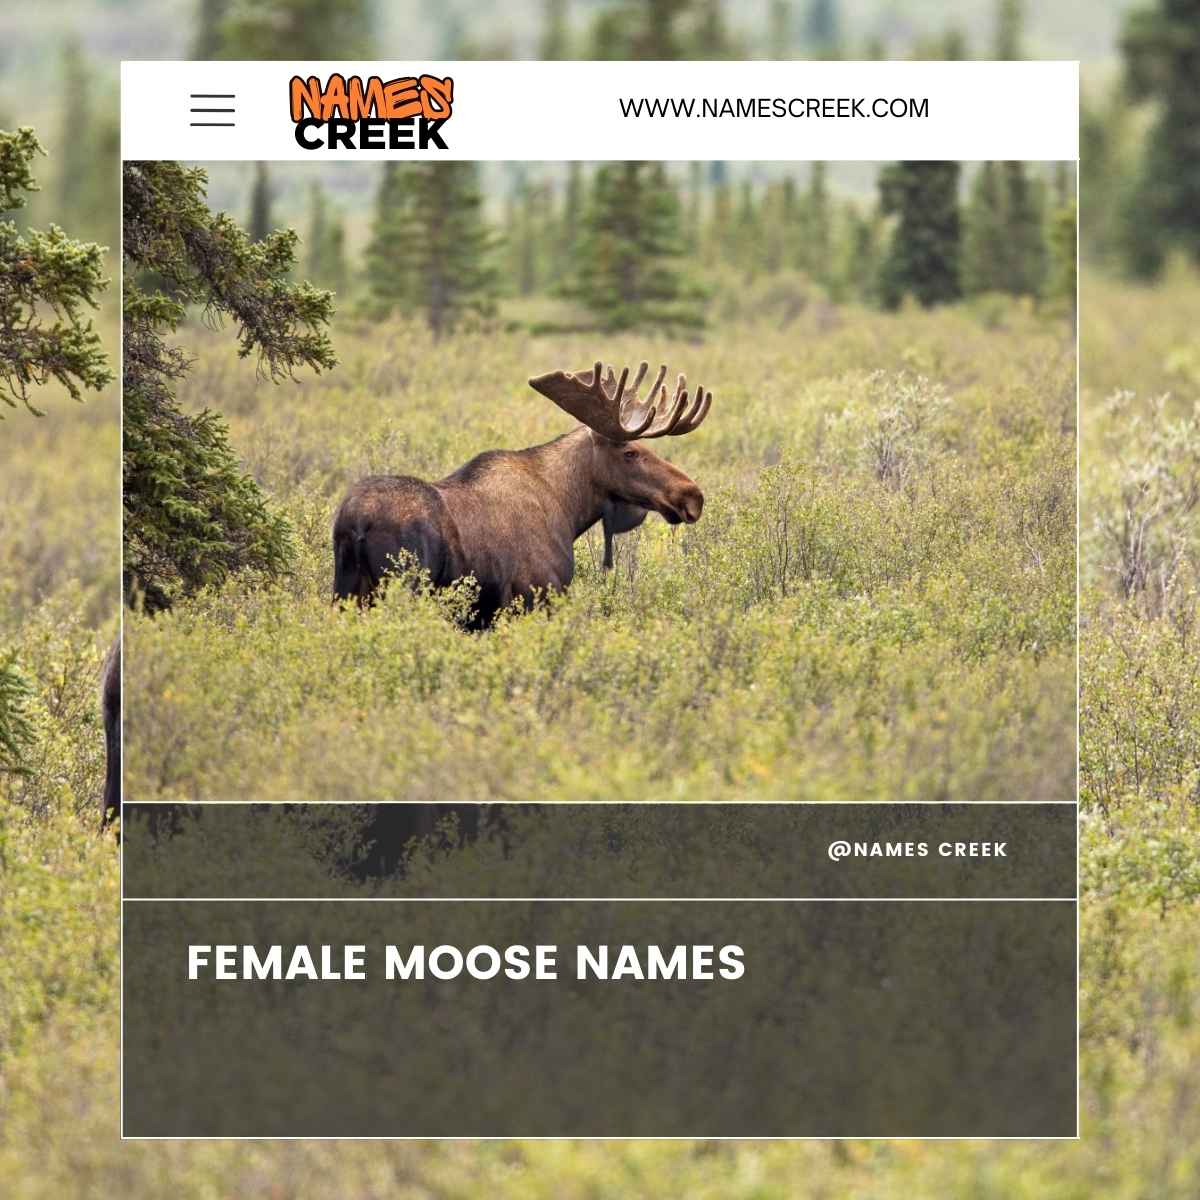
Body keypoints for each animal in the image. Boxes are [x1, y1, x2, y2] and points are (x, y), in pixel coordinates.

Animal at [332, 360, 713, 627]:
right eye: (631, 452)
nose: (691, 495)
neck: (569, 509)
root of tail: (356, 523)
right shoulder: (537, 595)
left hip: (346, 591)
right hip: (402, 587)